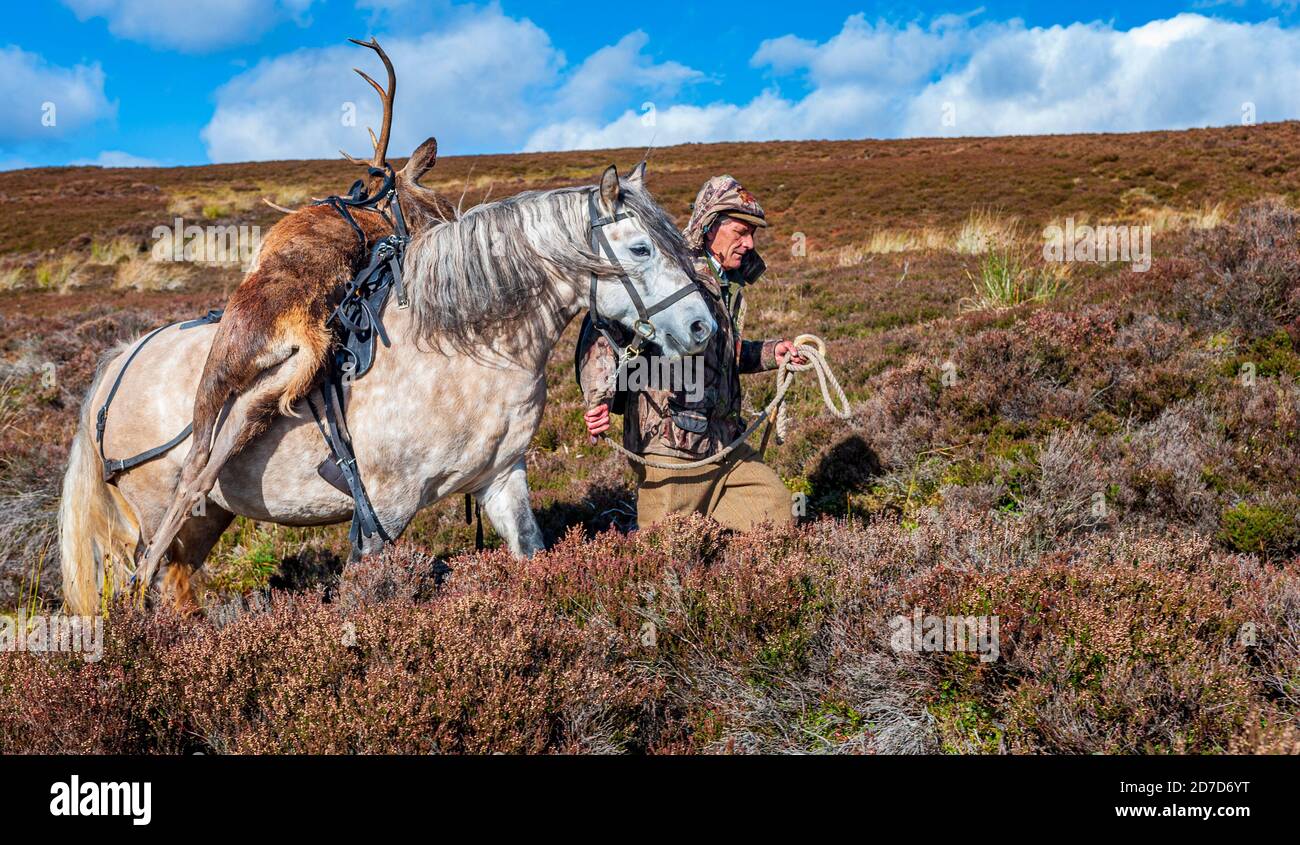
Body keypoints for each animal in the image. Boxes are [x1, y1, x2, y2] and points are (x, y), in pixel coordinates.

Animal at [59, 162, 717, 614]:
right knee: (154, 579)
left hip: (206, 517)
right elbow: (365, 600)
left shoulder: (501, 479)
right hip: (161, 510)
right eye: (641, 247)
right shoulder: (386, 507)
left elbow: (531, 554)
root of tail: (119, 362)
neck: (459, 345)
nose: (702, 327)